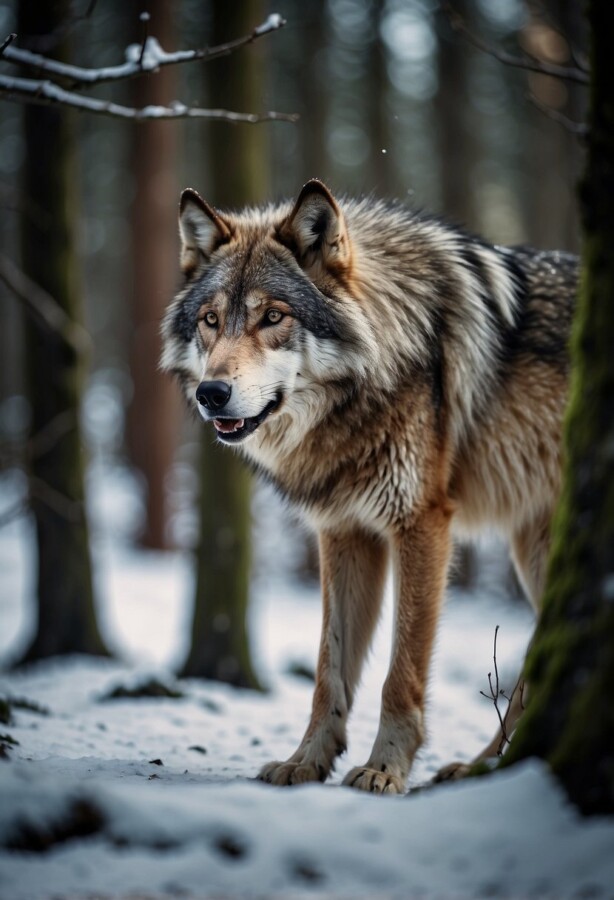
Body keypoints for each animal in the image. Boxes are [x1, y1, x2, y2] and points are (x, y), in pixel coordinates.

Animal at [162, 179, 577, 794]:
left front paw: (384, 769)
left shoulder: (422, 524)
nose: (211, 394)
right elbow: (327, 671)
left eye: (273, 316)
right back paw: (480, 769)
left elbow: (400, 672)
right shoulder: (344, 532)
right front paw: (305, 762)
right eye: (211, 320)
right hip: (535, 550)